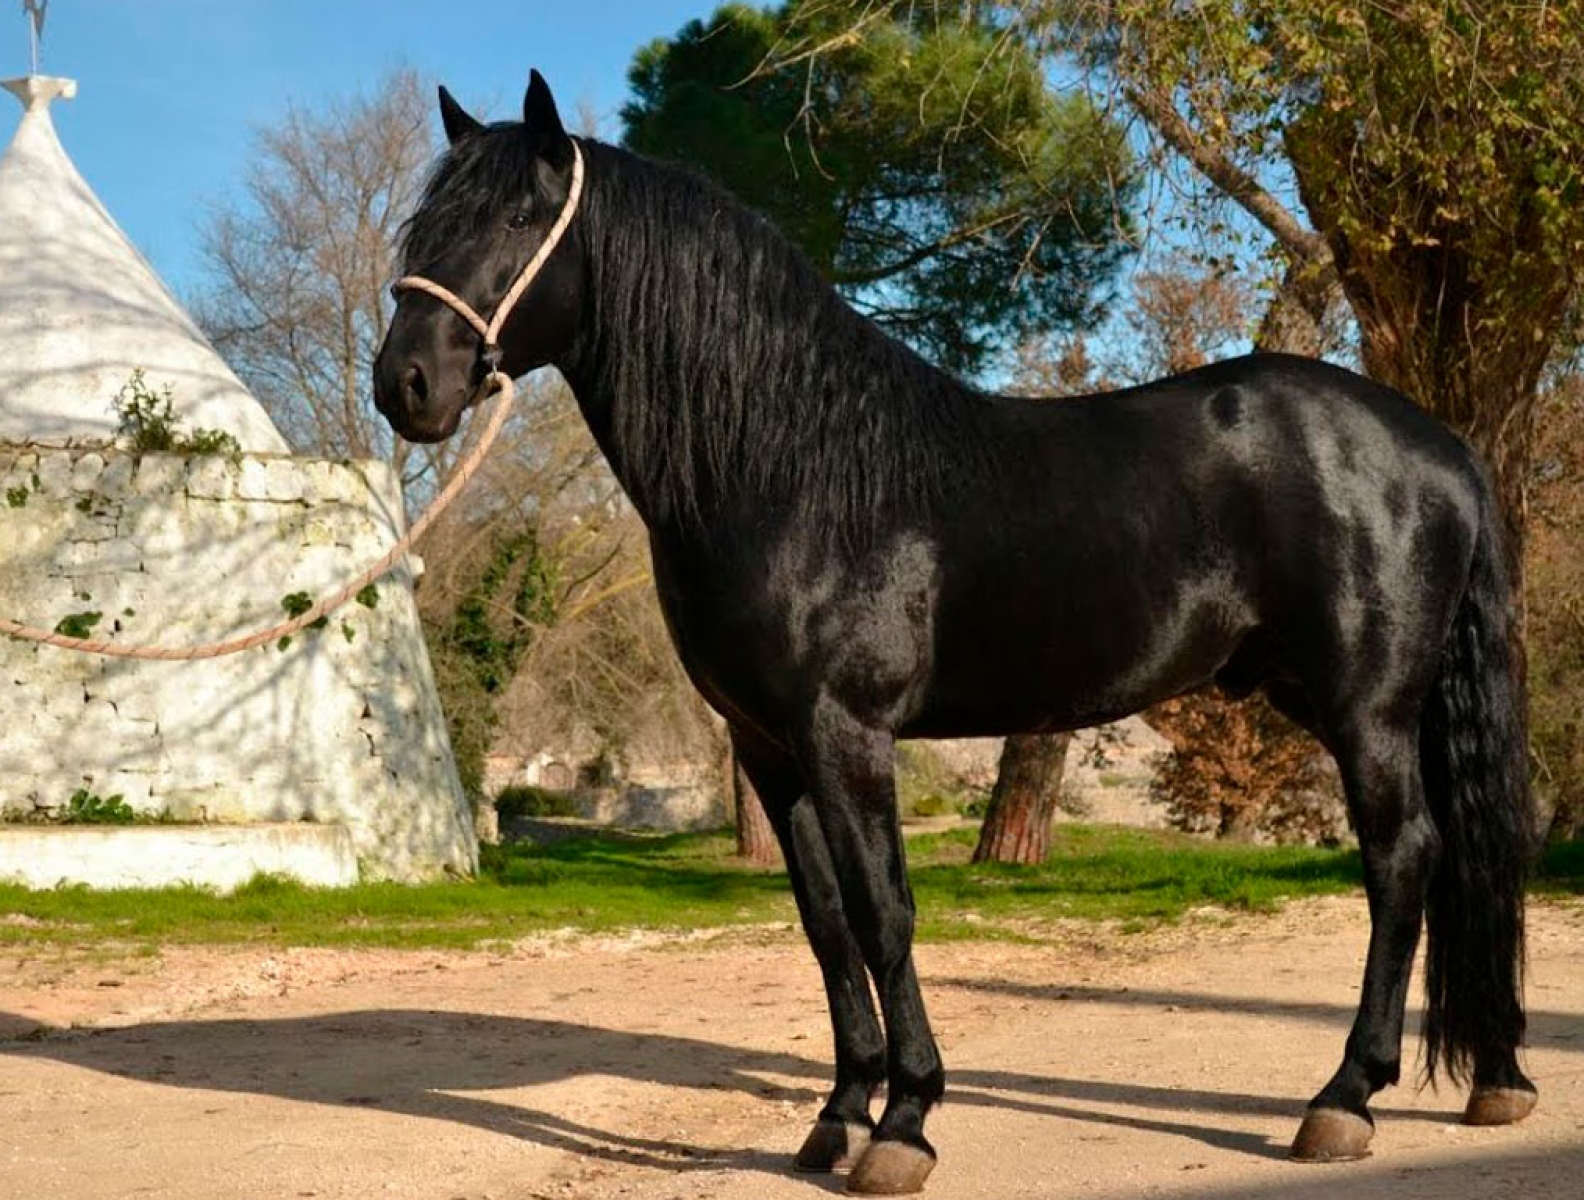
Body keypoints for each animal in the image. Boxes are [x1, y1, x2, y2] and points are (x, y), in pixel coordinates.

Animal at [373, 71, 1536, 1195]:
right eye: (424, 225)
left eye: (521, 216)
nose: (405, 384)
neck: (791, 467)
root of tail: (1437, 444)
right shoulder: (769, 749)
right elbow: (827, 926)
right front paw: (839, 1117)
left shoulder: (846, 733)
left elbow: (885, 914)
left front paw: (906, 1125)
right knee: (1453, 853)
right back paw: (1496, 1079)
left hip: (1368, 705)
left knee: (1404, 858)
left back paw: (1345, 1098)